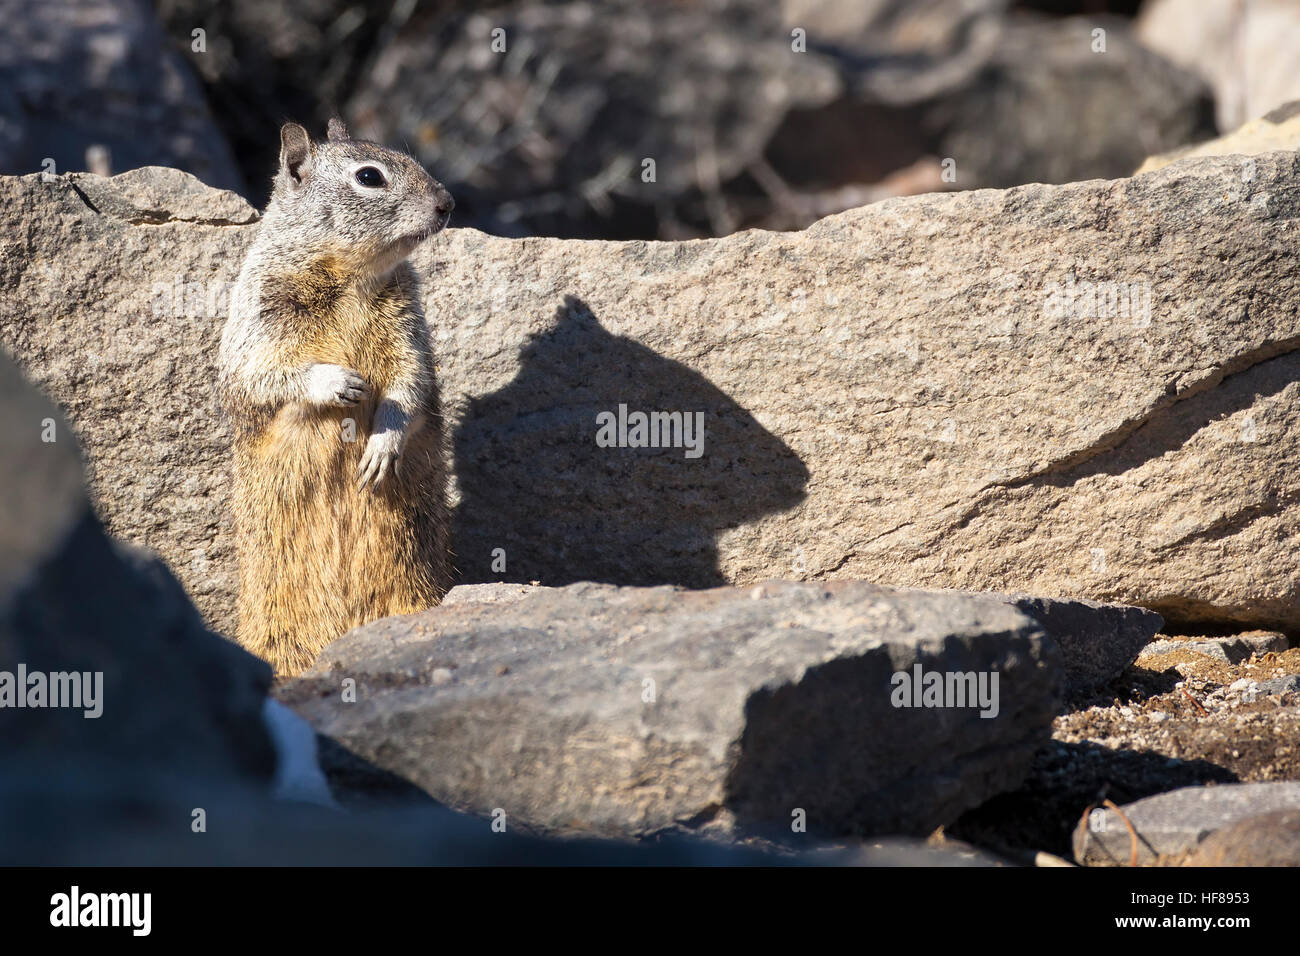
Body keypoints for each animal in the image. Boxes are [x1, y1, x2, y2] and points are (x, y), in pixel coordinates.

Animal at [218, 119, 454, 675]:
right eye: (369, 177)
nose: (448, 203)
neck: (350, 277)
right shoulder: (255, 325)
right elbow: (263, 375)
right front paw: (337, 383)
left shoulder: (411, 333)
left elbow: (410, 385)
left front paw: (382, 446)